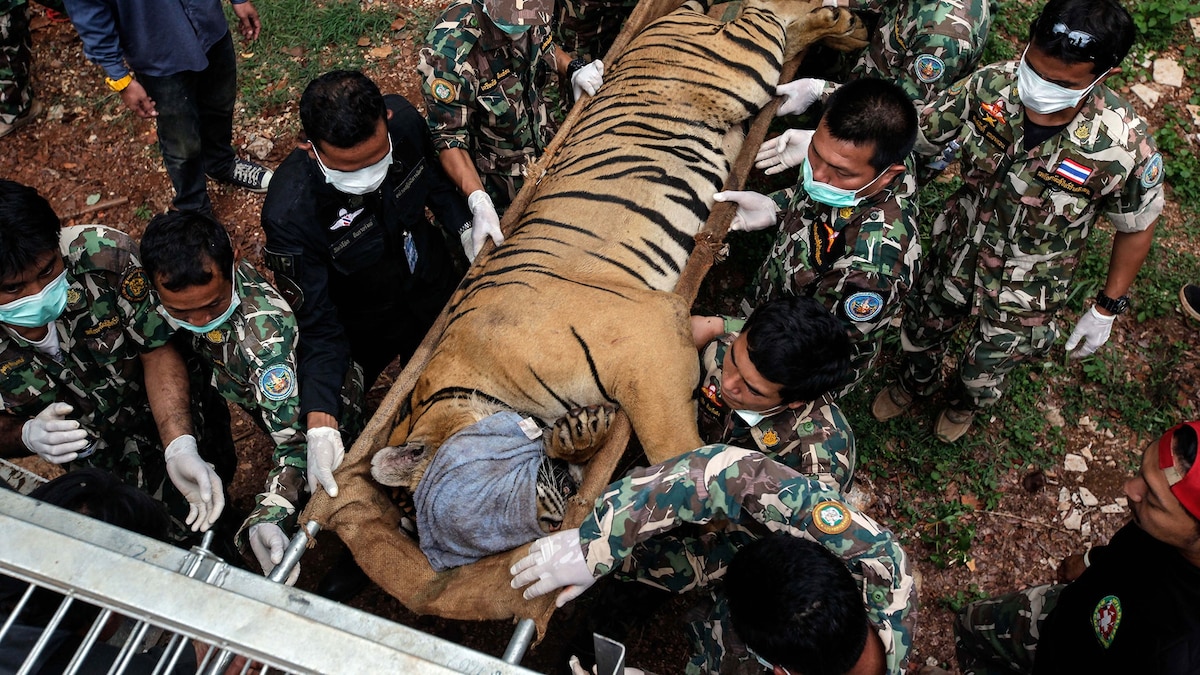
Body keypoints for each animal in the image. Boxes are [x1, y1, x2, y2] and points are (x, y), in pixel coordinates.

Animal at [371, 0, 867, 495]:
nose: (542, 508)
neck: (473, 379)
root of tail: (675, 18)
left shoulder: (647, 335)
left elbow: (671, 447)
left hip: (736, 68)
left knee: (765, 13)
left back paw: (841, 26)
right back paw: (848, 28)